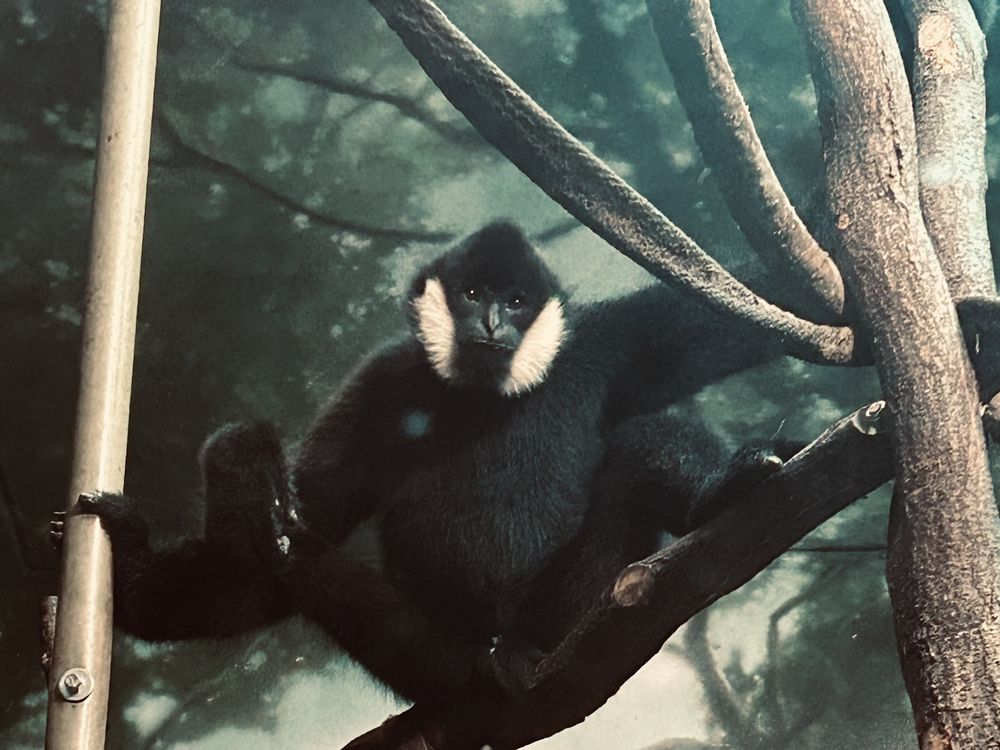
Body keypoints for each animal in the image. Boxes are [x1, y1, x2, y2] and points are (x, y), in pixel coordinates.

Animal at [70, 222, 785, 704]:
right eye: (472, 292)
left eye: (516, 299)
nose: (493, 319)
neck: (482, 395)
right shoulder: (380, 381)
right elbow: (303, 519)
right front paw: (130, 563)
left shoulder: (601, 345)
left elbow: (714, 335)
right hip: (433, 660)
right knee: (285, 549)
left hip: (579, 601)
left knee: (639, 446)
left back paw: (723, 490)